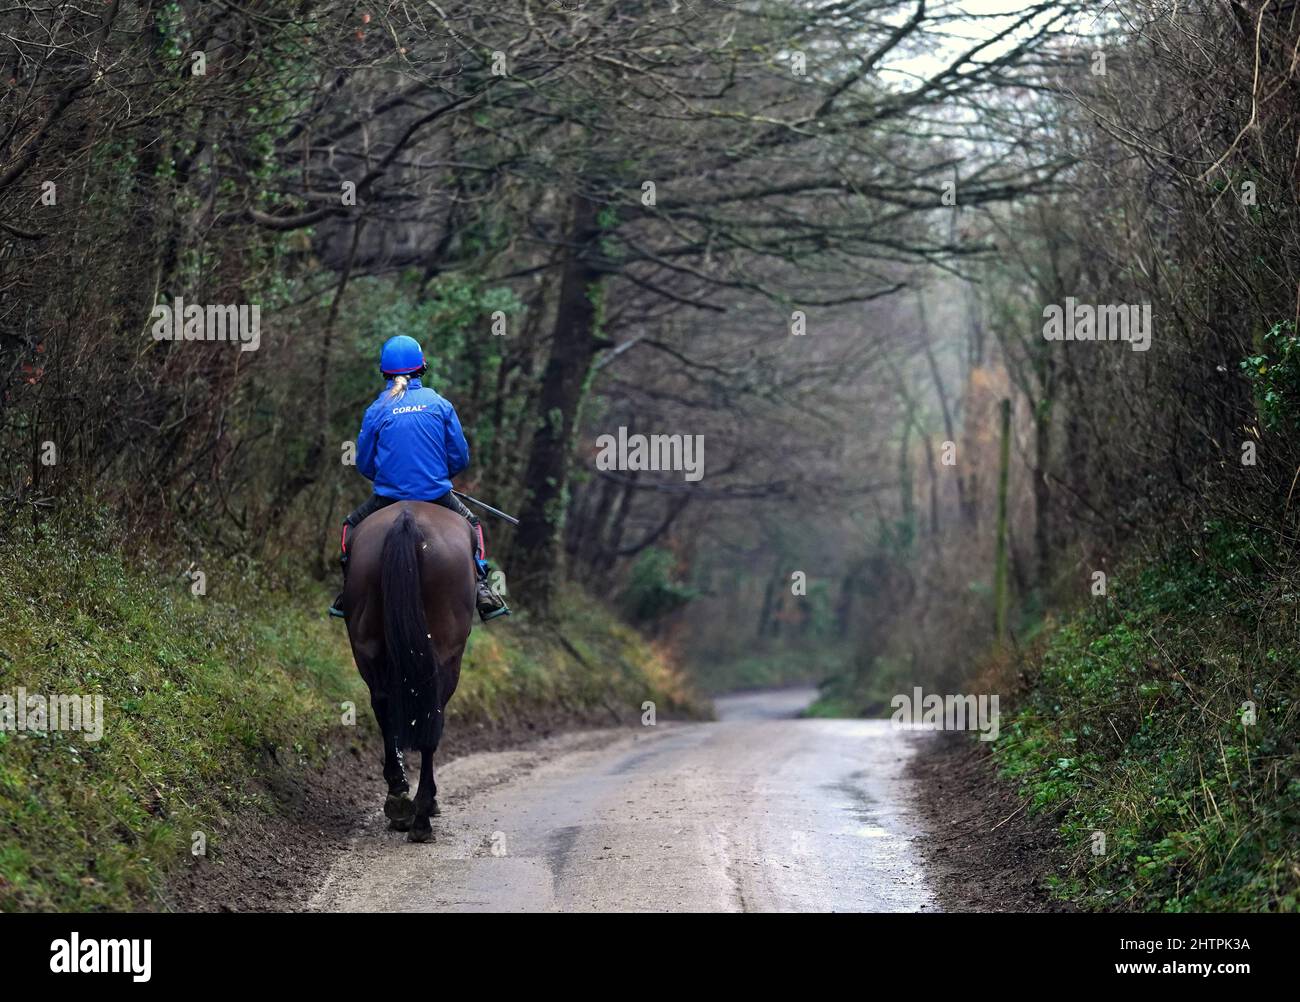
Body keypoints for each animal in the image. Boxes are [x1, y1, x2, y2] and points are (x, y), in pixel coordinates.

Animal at [343, 501, 475, 842]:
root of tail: (407, 520)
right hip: (445, 653)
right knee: (431, 717)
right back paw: (422, 815)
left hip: (366, 643)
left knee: (383, 704)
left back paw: (399, 799)